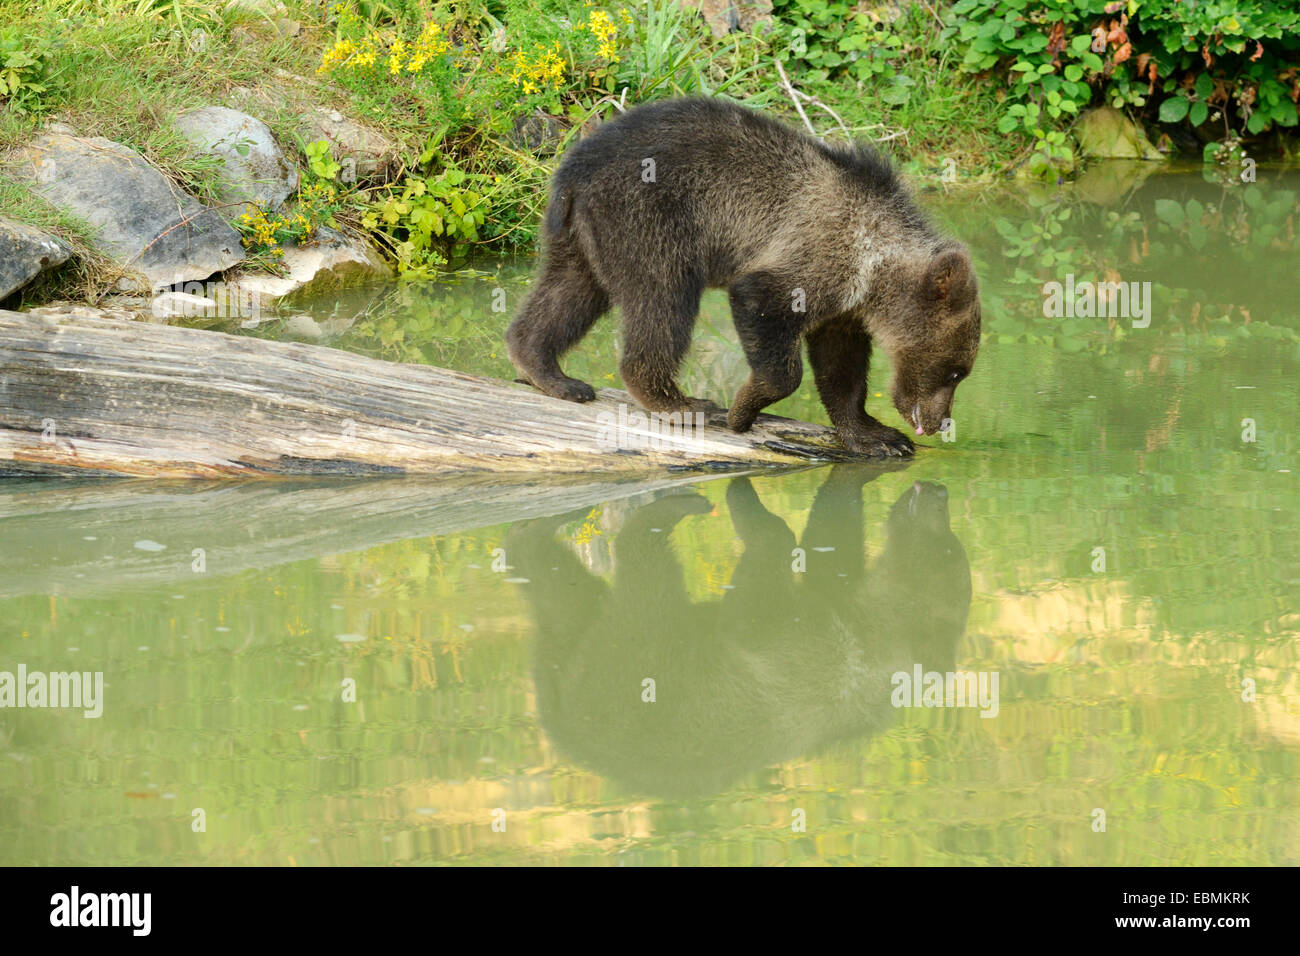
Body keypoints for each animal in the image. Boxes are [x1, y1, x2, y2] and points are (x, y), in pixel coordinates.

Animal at [506, 96, 982, 458]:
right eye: (956, 372)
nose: (940, 422)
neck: (874, 267)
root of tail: (574, 166)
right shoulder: (813, 254)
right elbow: (765, 313)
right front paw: (741, 410)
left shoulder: (842, 305)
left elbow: (841, 368)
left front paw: (877, 436)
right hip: (648, 217)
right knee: (663, 302)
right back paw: (683, 403)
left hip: (582, 233)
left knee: (569, 292)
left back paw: (551, 373)